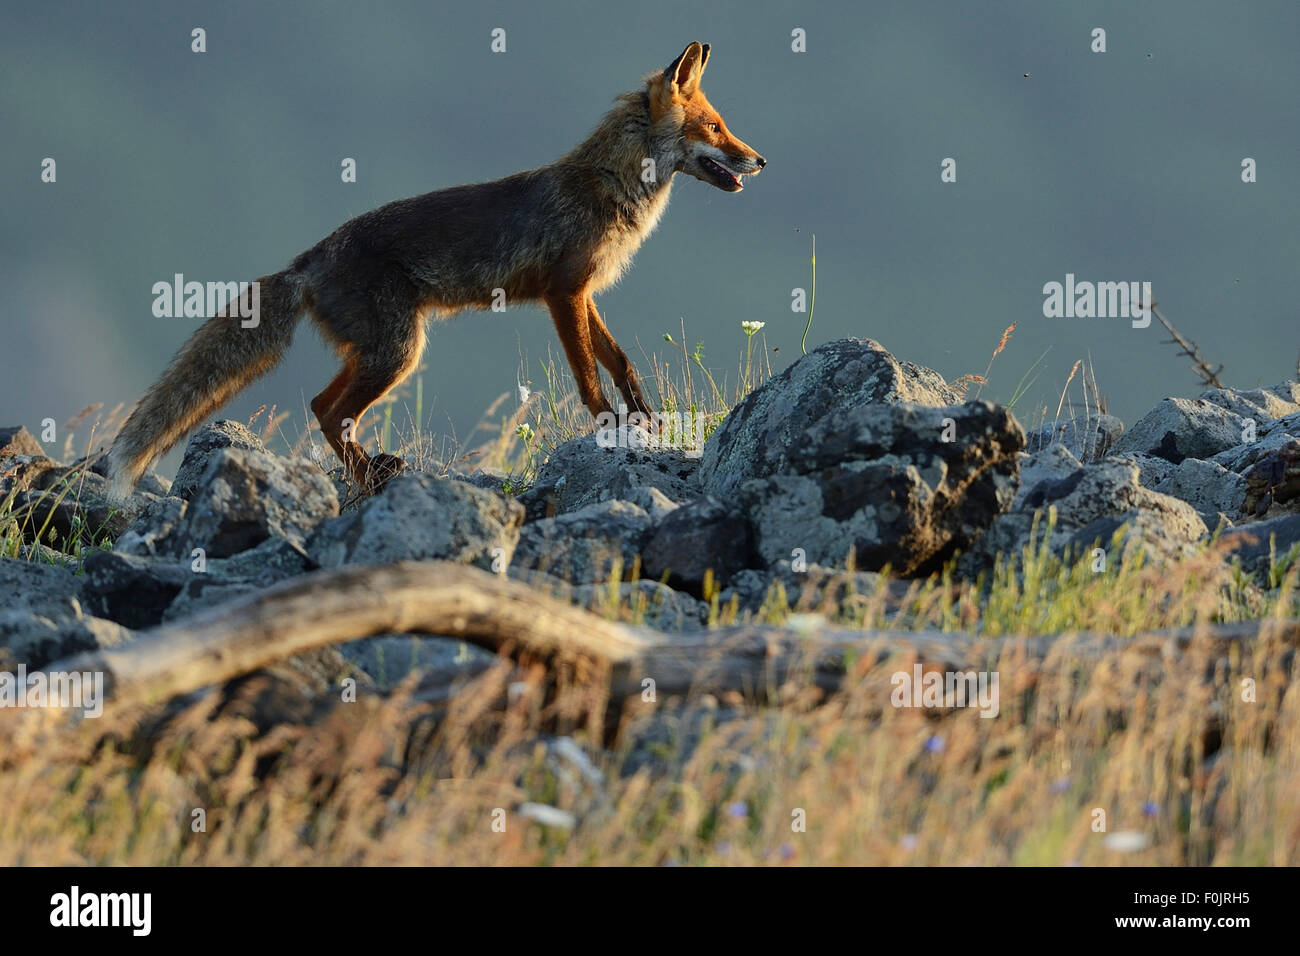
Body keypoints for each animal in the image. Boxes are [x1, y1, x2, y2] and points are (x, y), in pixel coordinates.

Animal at [105, 41, 764, 499]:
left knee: (322, 407)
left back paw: (369, 472)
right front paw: (610, 428)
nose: (759, 161)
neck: (606, 186)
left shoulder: (585, 294)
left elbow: (621, 362)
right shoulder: (563, 293)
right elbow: (589, 381)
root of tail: (306, 260)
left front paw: (648, 422)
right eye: (714, 127)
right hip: (400, 352)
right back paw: (372, 479)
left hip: (379, 354)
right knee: (330, 411)